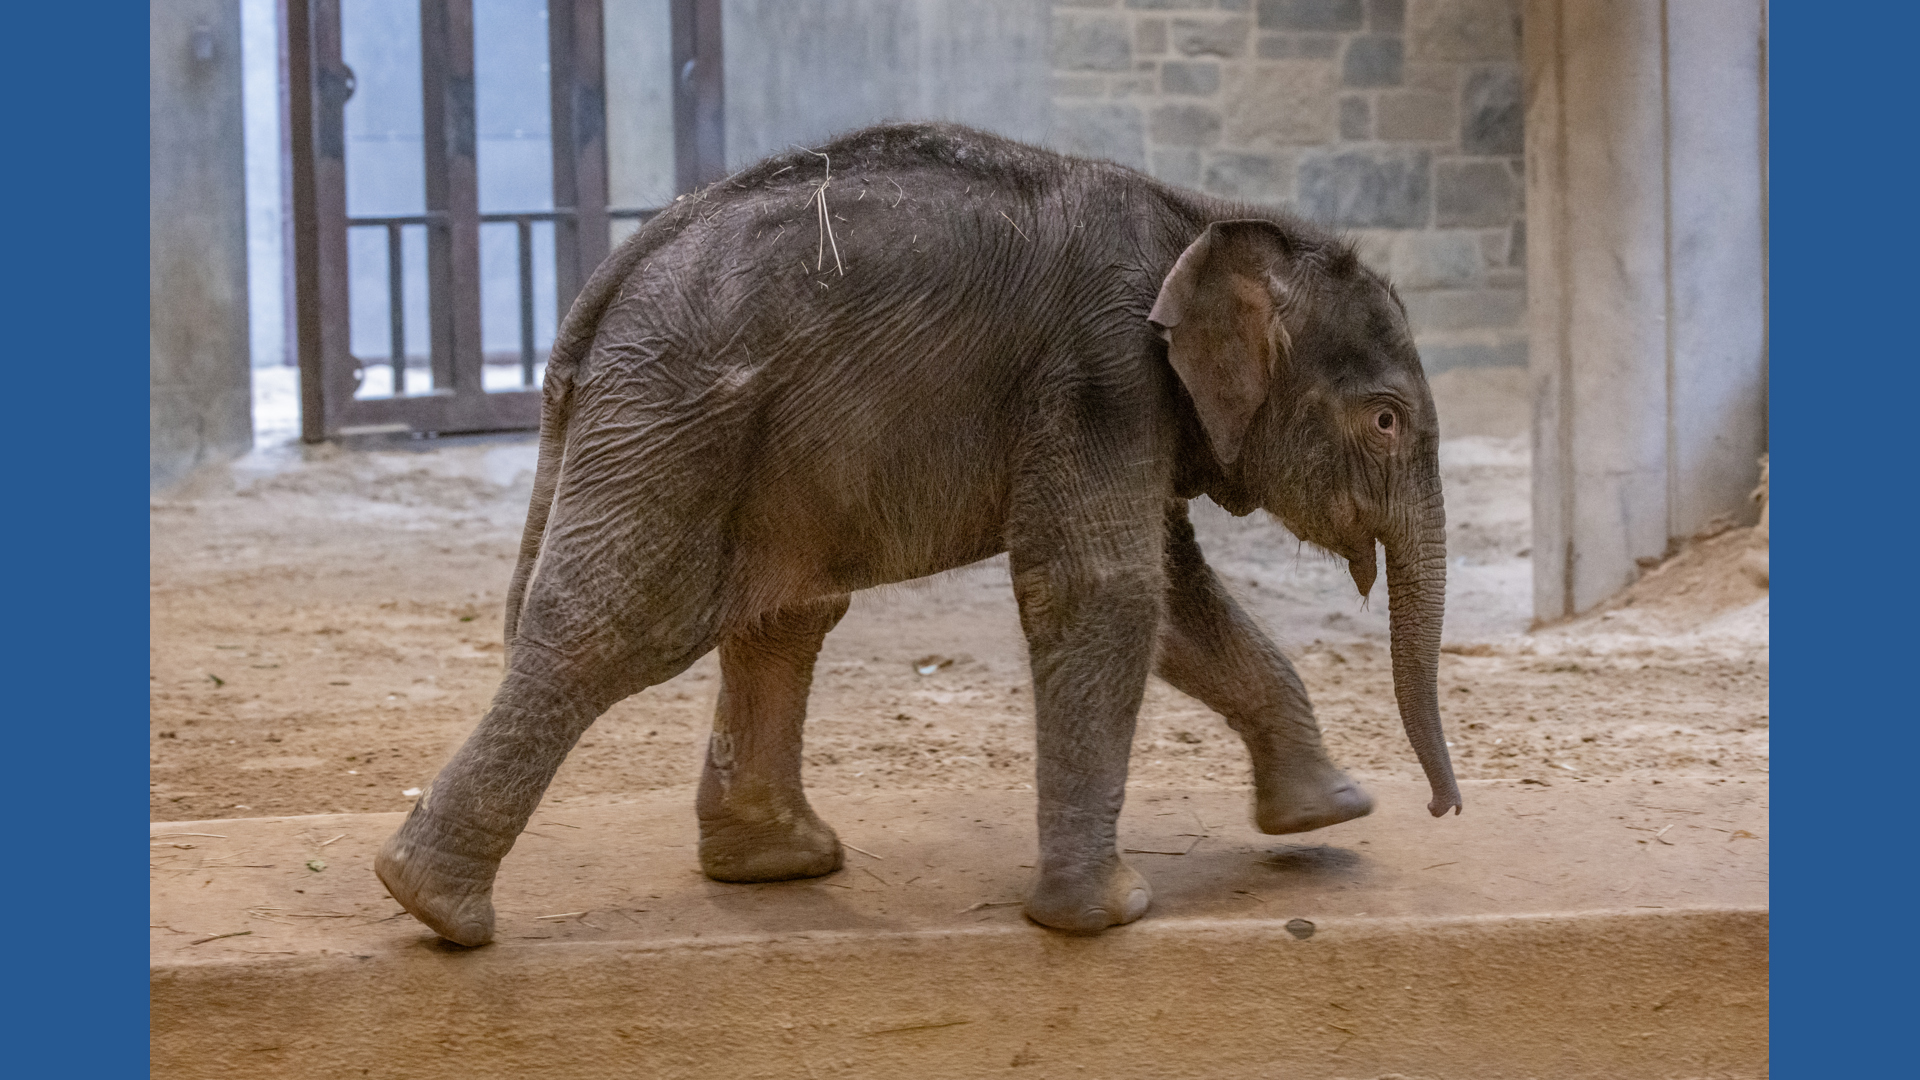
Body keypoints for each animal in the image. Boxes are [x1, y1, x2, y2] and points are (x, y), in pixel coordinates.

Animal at [376, 122, 1459, 945]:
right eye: (1386, 420)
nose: (1441, 809)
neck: (1203, 217)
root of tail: (604, 284)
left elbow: (1175, 601)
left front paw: (1327, 812)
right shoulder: (1100, 370)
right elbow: (1108, 590)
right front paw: (1105, 919)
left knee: (784, 615)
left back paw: (777, 865)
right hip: (674, 415)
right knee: (620, 625)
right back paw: (435, 909)